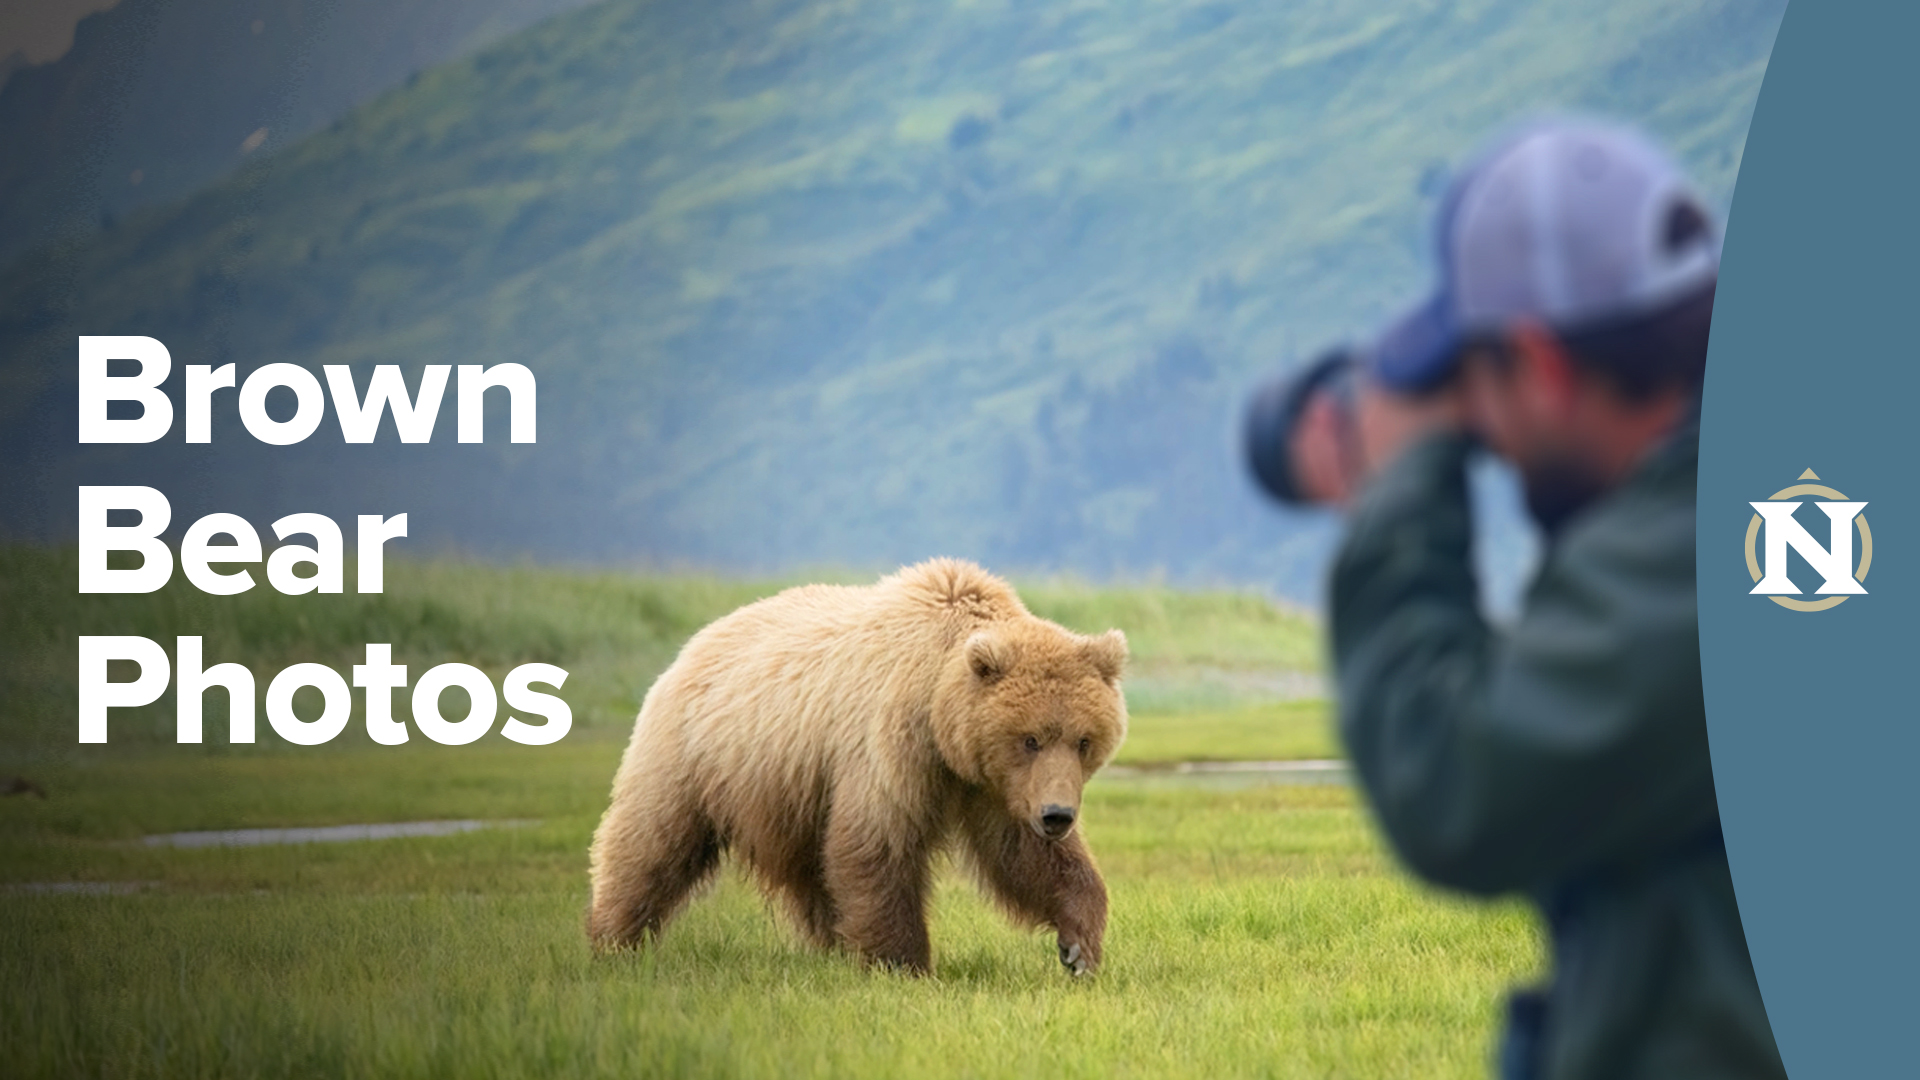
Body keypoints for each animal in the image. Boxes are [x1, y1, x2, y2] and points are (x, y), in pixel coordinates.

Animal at [586, 557, 1128, 976]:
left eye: (1083, 740)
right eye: (1029, 738)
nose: (1058, 815)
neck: (941, 715)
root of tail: (693, 643)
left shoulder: (993, 784)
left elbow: (1022, 853)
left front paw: (1078, 947)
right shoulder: (891, 743)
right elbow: (876, 842)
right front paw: (904, 963)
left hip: (793, 787)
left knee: (812, 871)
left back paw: (834, 943)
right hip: (695, 755)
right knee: (653, 841)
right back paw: (612, 937)